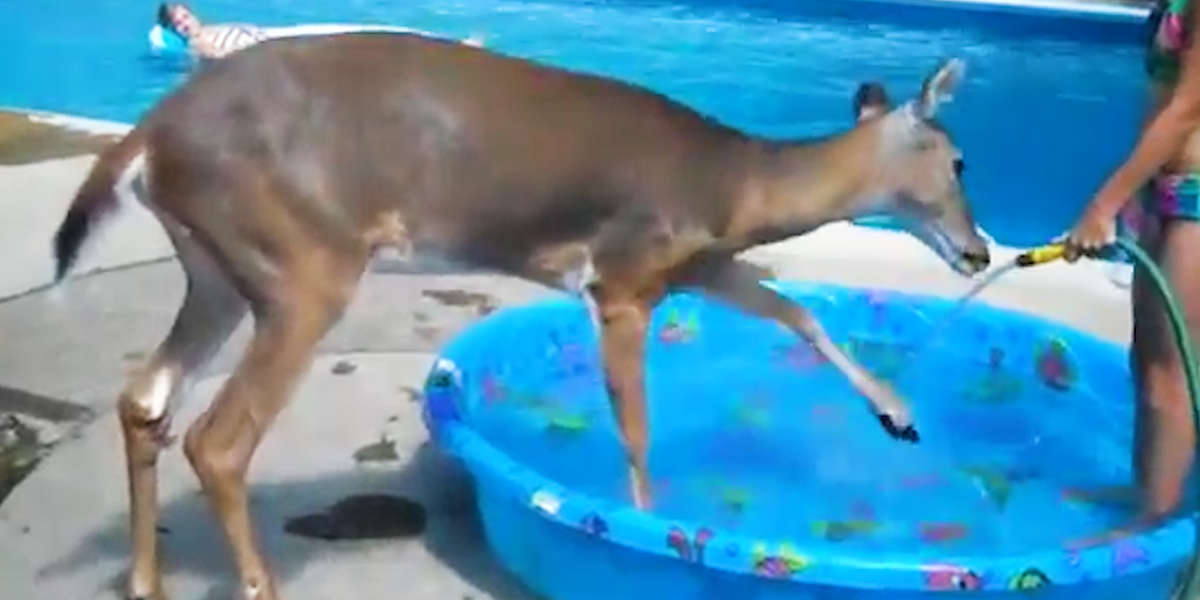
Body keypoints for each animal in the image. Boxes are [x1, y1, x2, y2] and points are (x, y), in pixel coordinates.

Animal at [51, 31, 988, 600]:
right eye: (958, 160)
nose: (979, 252)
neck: (737, 185)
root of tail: (147, 139)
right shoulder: (623, 278)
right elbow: (636, 427)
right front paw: (647, 530)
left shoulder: (691, 265)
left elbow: (795, 312)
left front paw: (898, 416)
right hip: (301, 265)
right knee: (219, 439)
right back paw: (258, 584)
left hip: (215, 267)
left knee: (144, 401)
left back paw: (145, 582)